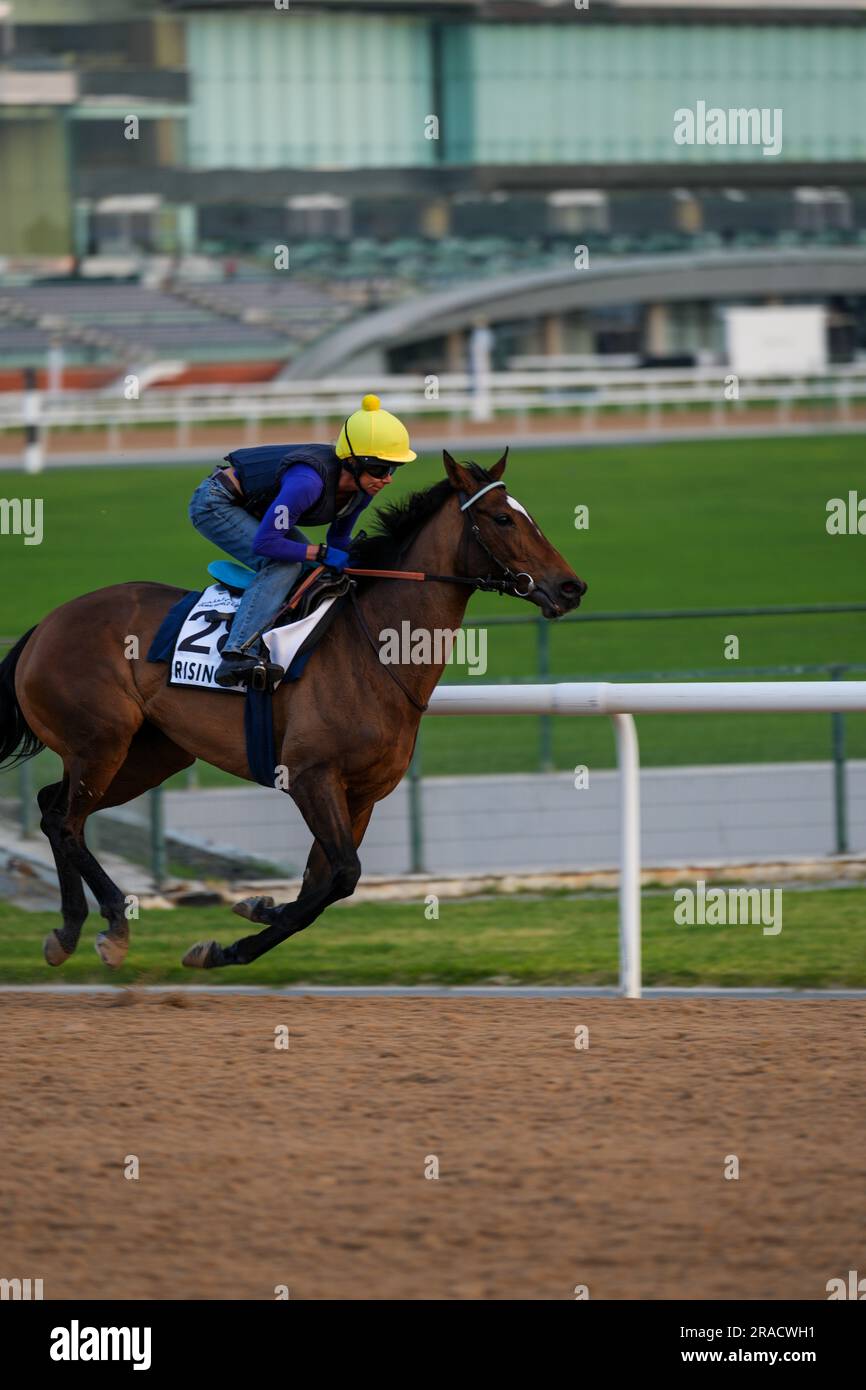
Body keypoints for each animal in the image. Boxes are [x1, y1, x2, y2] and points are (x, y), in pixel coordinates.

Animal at [0, 451, 586, 969]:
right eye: (503, 518)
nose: (571, 587)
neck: (375, 650)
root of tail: (44, 625)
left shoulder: (362, 793)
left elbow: (322, 882)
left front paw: (254, 915)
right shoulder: (310, 776)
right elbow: (342, 875)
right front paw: (231, 941)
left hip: (150, 754)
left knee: (53, 810)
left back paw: (68, 931)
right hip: (102, 743)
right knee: (68, 822)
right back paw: (114, 927)